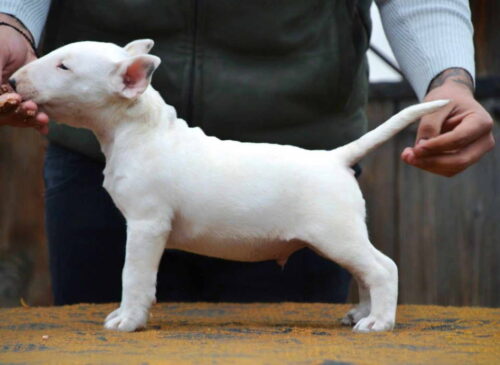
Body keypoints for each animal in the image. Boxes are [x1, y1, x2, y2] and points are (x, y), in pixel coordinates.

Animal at [11, 39, 450, 330]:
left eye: (64, 67)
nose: (13, 81)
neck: (140, 130)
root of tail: (334, 158)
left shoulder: (147, 224)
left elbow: (133, 275)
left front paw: (127, 319)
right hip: (341, 235)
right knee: (366, 272)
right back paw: (362, 312)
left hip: (335, 233)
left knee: (383, 268)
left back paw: (378, 322)